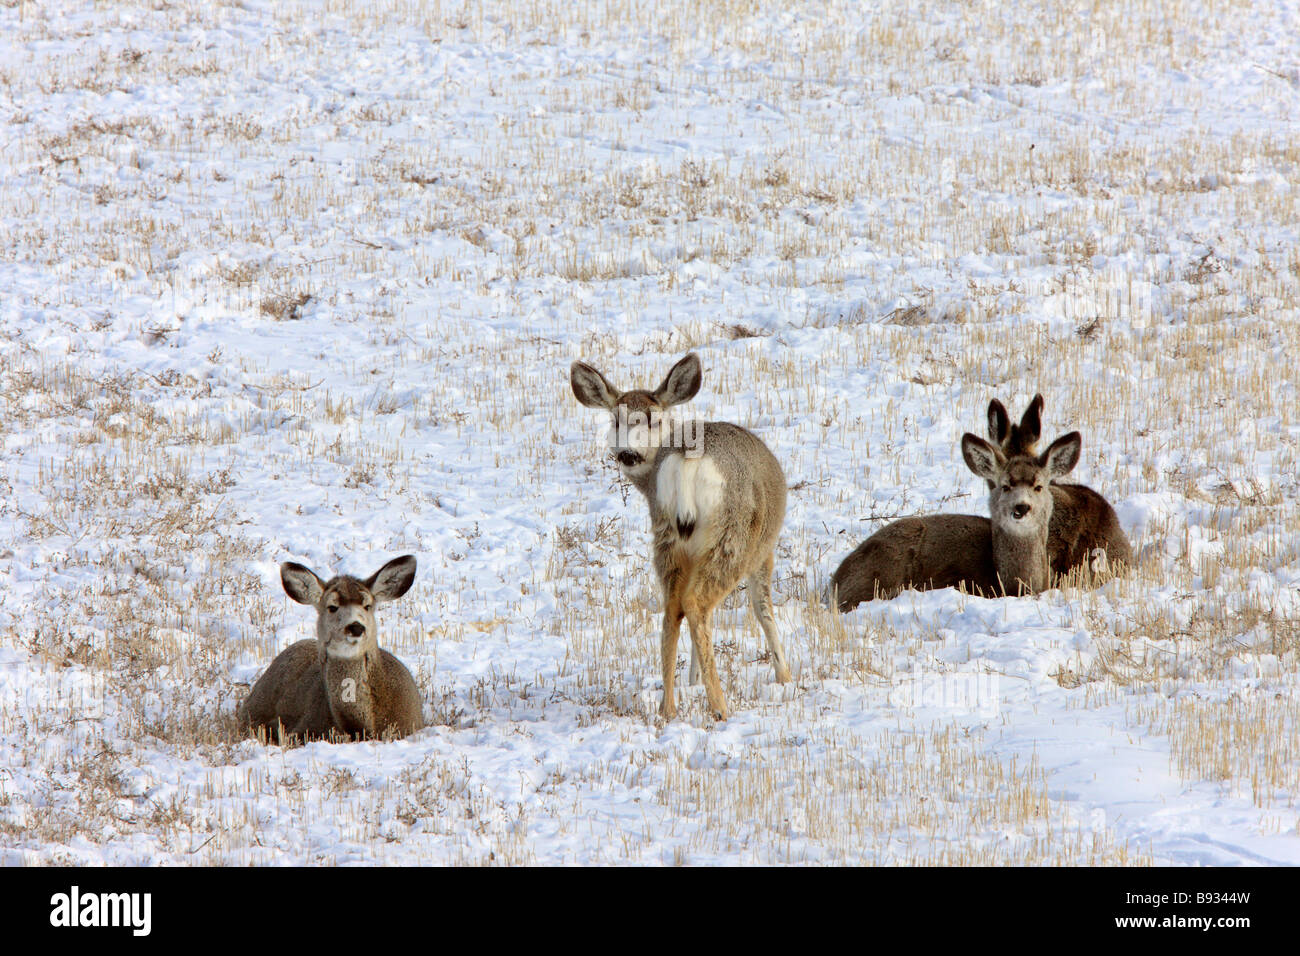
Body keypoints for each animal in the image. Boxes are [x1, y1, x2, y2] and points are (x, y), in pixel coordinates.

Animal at [569, 352, 791, 721]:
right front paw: (785, 675)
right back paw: (719, 706)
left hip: (666, 535)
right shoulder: (764, 549)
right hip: (734, 535)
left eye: (653, 420)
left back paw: (668, 706)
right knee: (697, 603)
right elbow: (763, 609)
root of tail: (688, 457)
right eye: (615, 419)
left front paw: (692, 679)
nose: (627, 454)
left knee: (674, 605)